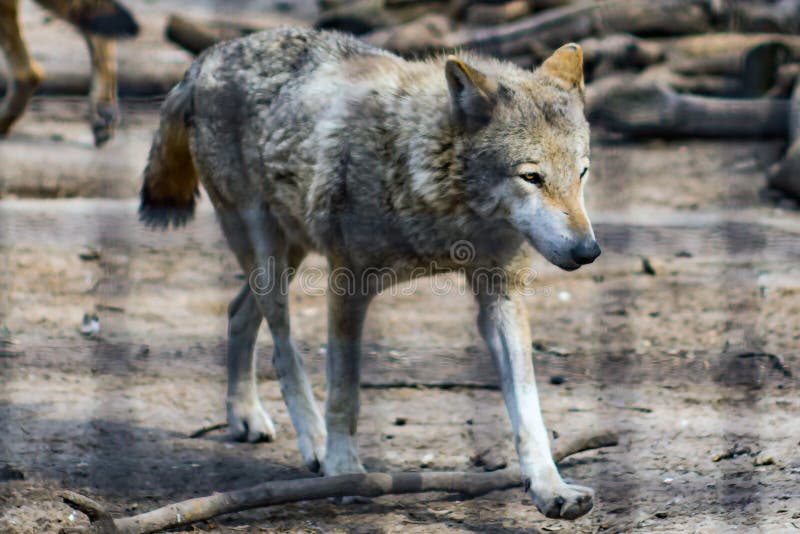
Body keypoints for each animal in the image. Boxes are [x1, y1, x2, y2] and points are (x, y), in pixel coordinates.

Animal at [139, 27, 601, 520]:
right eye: (531, 177)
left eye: (582, 173)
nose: (588, 250)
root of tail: (207, 57)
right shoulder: (348, 285)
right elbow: (345, 394)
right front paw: (345, 470)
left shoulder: (501, 294)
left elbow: (528, 405)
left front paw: (551, 488)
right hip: (268, 252)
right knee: (283, 348)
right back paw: (315, 443)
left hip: (290, 252)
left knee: (237, 312)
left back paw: (244, 416)